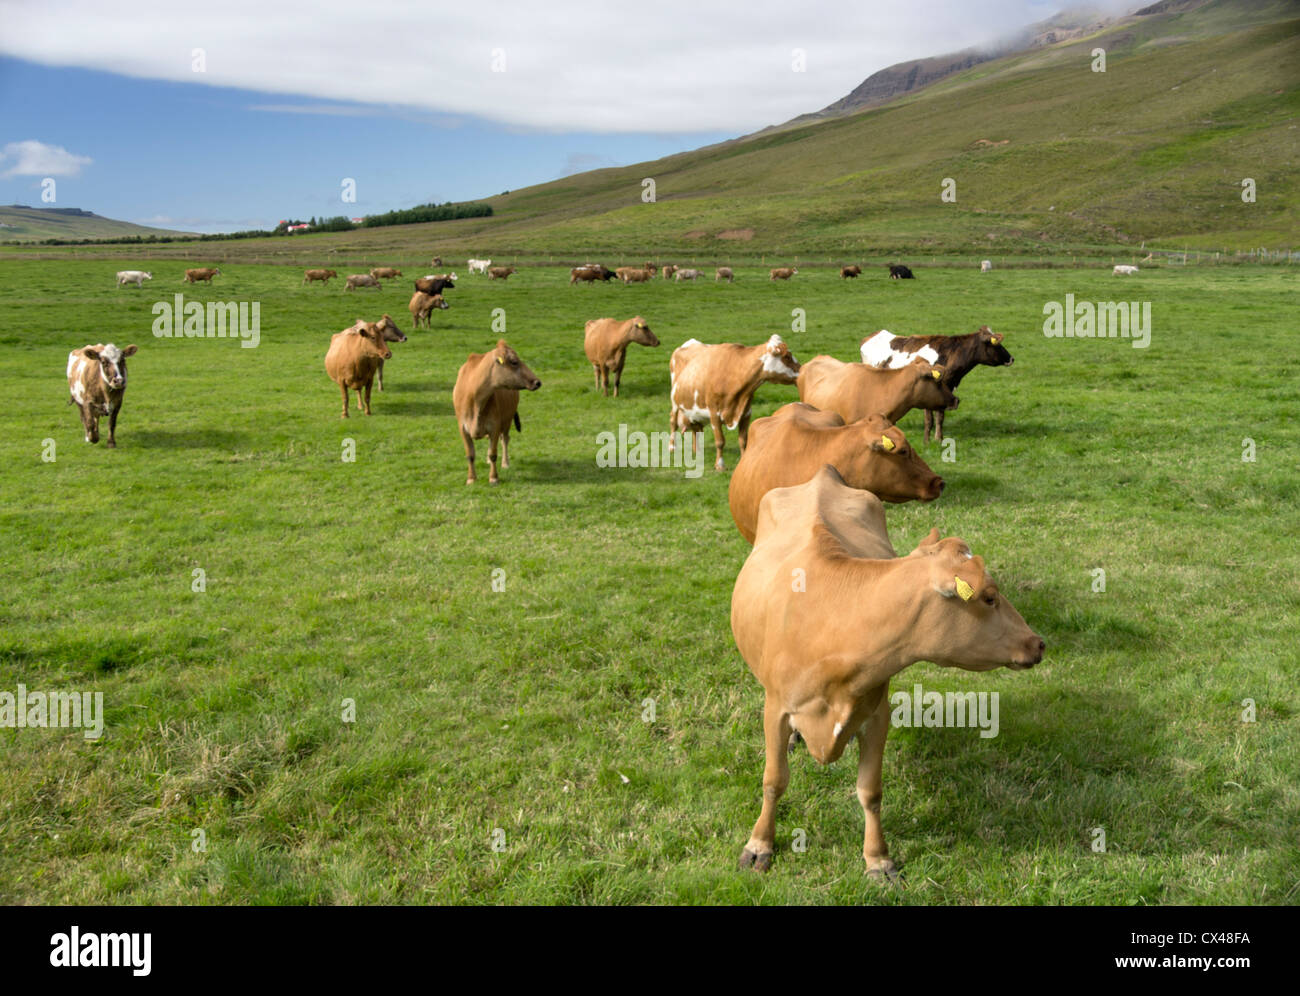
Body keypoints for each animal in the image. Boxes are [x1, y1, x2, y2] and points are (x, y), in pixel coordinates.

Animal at [451, 340, 542, 485]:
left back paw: (505, 462)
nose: (537, 382)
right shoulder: (462, 427)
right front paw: (471, 478)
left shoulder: (495, 425)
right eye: (514, 362)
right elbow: (470, 454)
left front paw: (493, 477)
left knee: (505, 439)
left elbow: (493, 453)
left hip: (507, 420)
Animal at [668, 334, 800, 472]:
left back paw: (697, 450)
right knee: (673, 422)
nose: (801, 369)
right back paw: (672, 447)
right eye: (787, 356)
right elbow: (720, 441)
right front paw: (720, 465)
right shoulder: (714, 412)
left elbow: (743, 440)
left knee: (696, 428)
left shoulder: (746, 412)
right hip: (675, 402)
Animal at [731, 465, 1045, 876]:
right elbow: (774, 780)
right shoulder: (776, 707)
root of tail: (823, 474)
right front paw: (759, 843)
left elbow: (870, 790)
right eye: (990, 597)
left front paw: (877, 858)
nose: (1037, 643)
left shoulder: (877, 712)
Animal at [859, 326, 1012, 442]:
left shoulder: (946, 391)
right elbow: (930, 419)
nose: (1012, 358)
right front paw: (928, 440)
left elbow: (940, 417)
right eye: (996, 344)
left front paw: (939, 438)